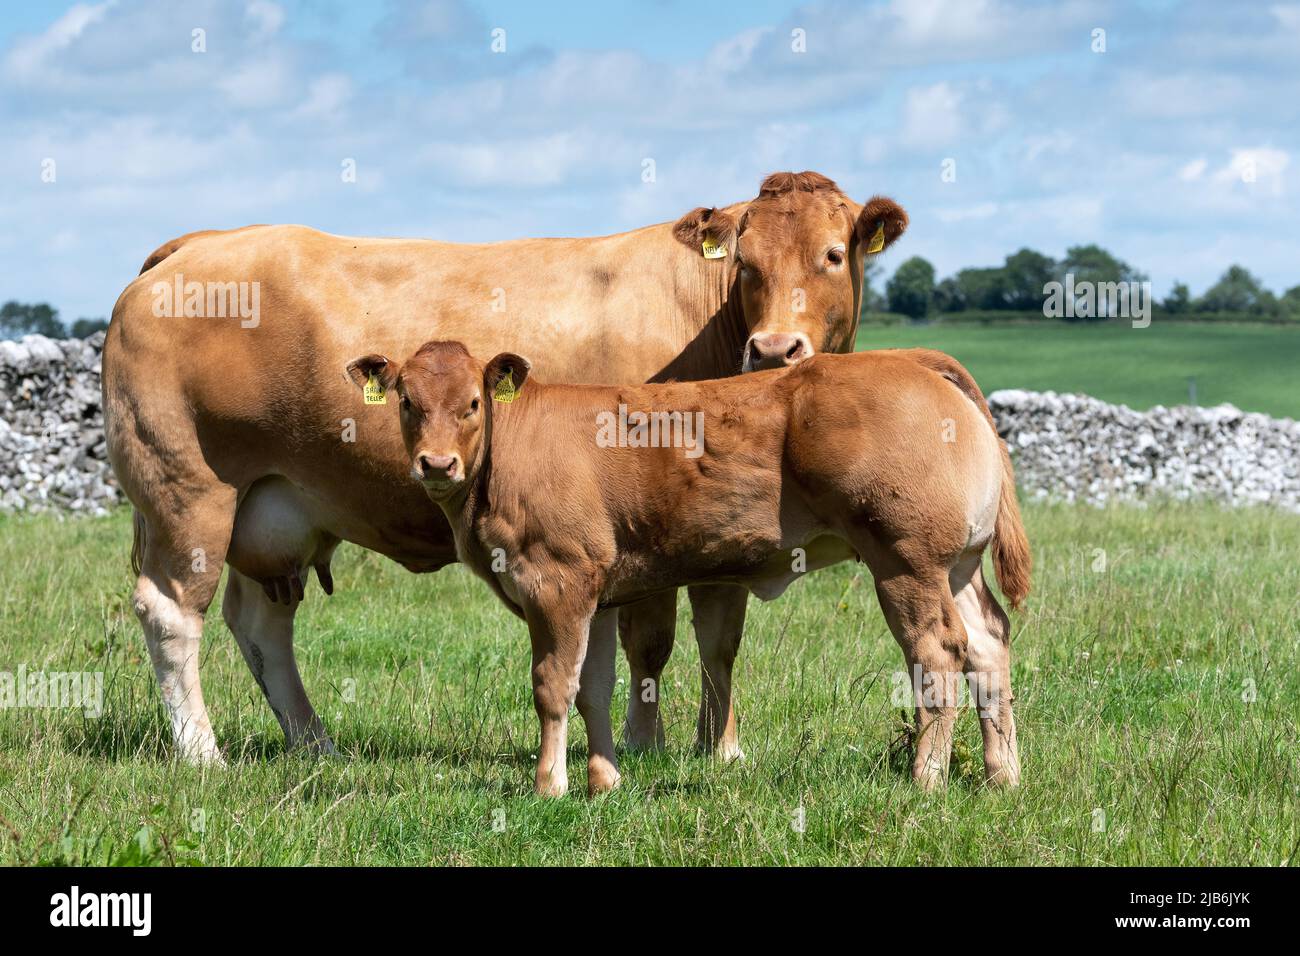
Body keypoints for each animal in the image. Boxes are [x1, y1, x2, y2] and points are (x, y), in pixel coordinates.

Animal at [102, 171, 908, 765]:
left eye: (833, 255)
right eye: (745, 263)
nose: (775, 351)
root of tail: (197, 245)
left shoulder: (725, 521)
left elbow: (718, 638)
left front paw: (720, 751)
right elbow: (653, 641)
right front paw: (648, 749)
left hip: (277, 509)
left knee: (261, 624)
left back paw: (315, 744)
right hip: (188, 491)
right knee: (171, 613)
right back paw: (203, 754)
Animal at [344, 340, 1031, 796]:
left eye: (472, 403)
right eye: (406, 401)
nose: (436, 464)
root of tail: (913, 360)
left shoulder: (555, 580)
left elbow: (552, 685)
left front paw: (549, 786)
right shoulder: (597, 591)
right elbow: (594, 686)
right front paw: (604, 780)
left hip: (906, 559)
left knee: (938, 652)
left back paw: (926, 779)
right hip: (957, 566)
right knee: (988, 644)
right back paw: (1003, 775)